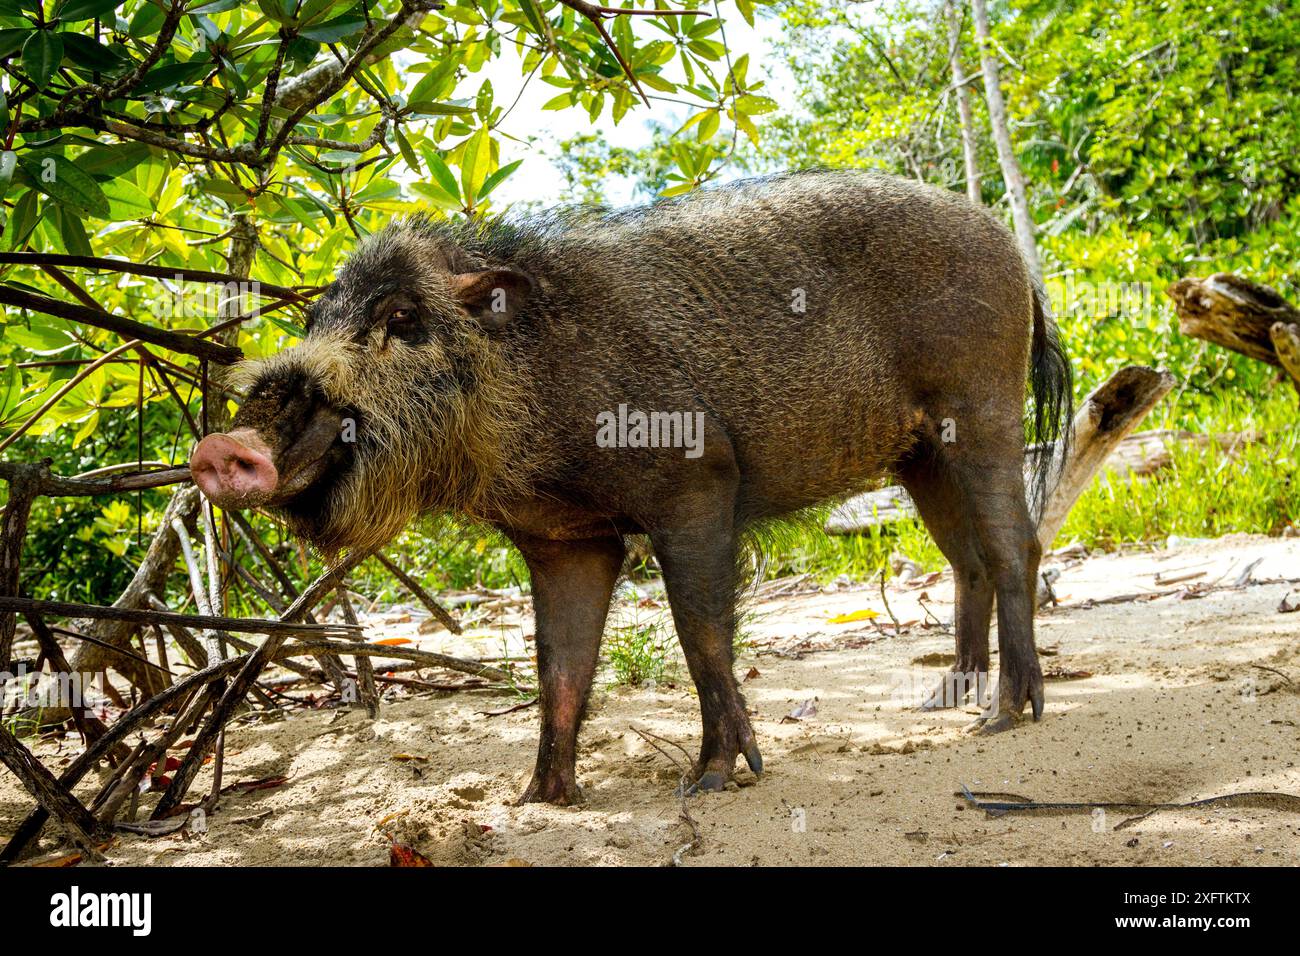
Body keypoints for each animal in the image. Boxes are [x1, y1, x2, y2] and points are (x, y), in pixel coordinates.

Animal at [190, 170, 1072, 805]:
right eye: (318, 319)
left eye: (403, 320)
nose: (219, 448)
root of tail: (1013, 252)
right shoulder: (566, 540)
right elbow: (558, 665)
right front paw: (538, 801)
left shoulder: (699, 480)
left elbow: (701, 635)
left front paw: (713, 780)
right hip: (918, 454)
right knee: (967, 559)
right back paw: (944, 705)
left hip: (982, 407)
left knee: (1015, 545)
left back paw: (1004, 719)